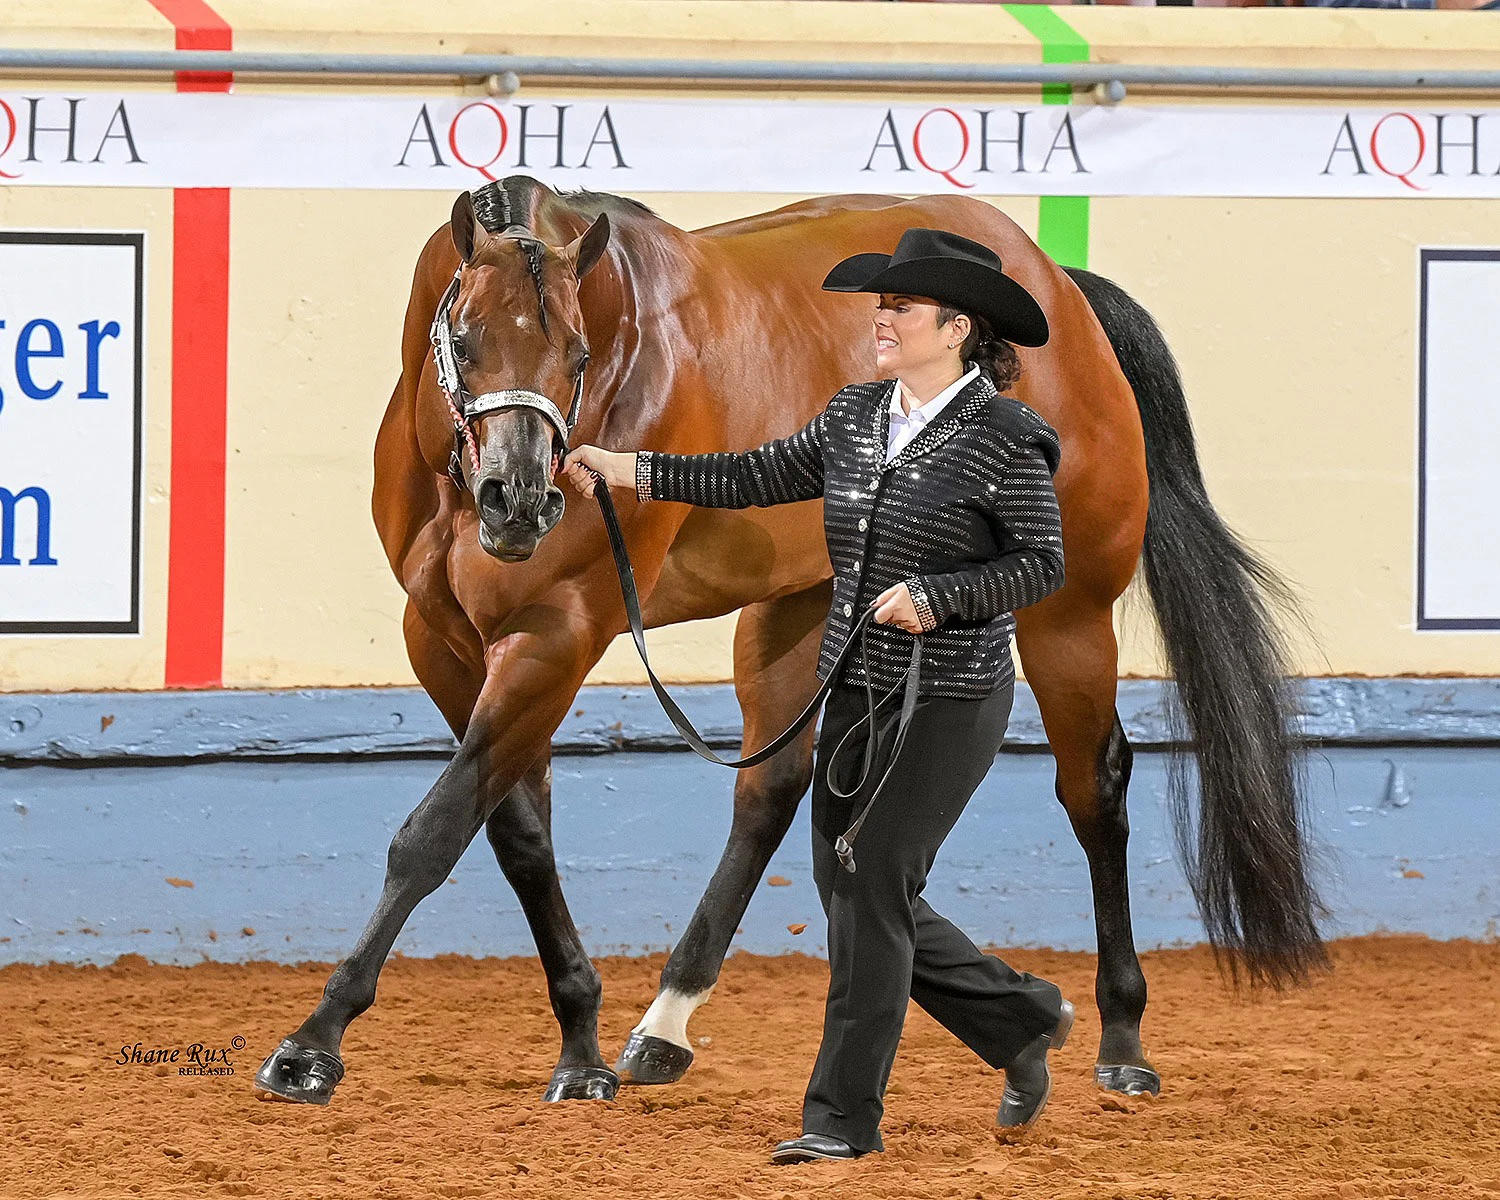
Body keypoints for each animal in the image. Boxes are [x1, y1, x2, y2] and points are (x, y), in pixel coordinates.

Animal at [254, 174, 1327, 1108]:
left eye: (577, 353)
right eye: (467, 339)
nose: (519, 503)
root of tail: (1062, 292)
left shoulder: (556, 631)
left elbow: (433, 834)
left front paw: (312, 1045)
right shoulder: (442, 641)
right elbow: (514, 834)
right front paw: (582, 1044)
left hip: (1067, 615)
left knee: (1093, 787)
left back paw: (1120, 1039)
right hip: (806, 606)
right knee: (775, 788)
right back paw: (665, 1025)